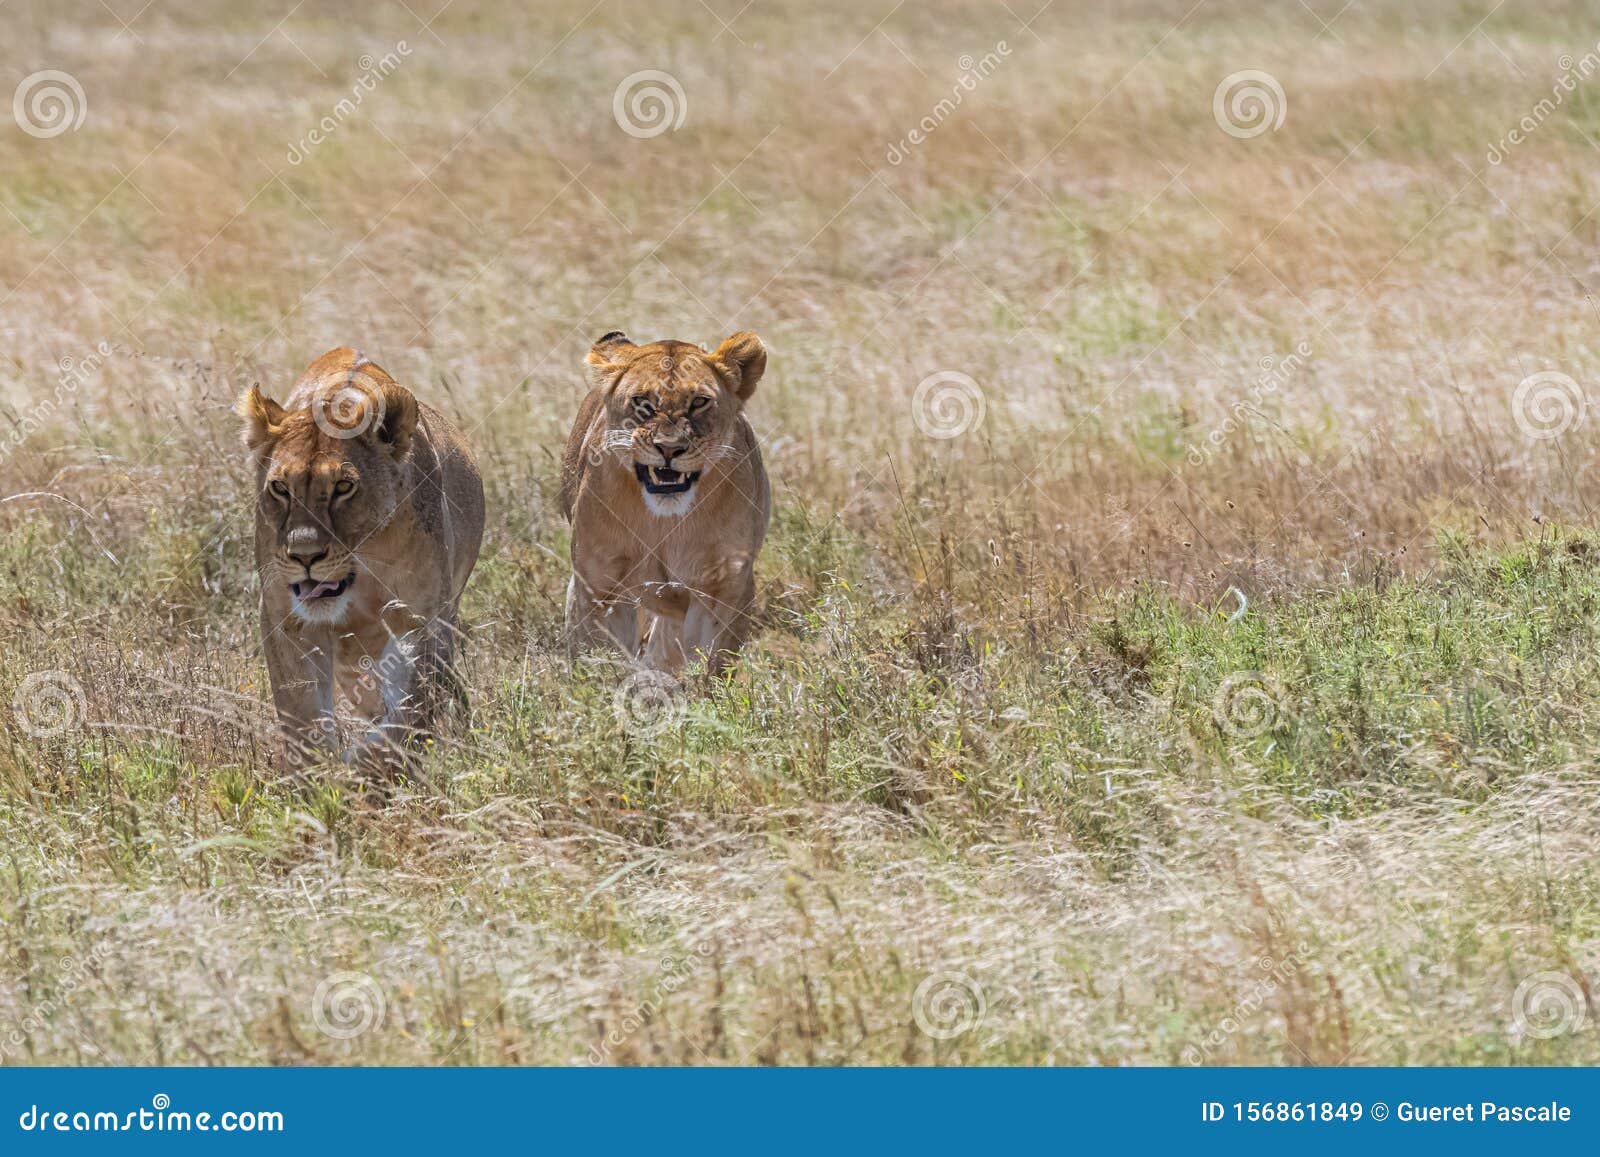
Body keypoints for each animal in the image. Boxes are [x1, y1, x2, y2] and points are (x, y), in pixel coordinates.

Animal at [238, 347, 485, 772]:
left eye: (343, 487)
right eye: (281, 488)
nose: (304, 556)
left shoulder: (421, 618)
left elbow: (408, 715)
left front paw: (367, 768)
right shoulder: (285, 619)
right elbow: (301, 715)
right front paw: (317, 779)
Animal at [561, 330, 770, 675]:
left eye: (699, 402)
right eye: (642, 403)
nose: (669, 448)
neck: (664, 522)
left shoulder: (722, 585)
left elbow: (707, 659)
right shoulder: (600, 586)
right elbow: (603, 658)